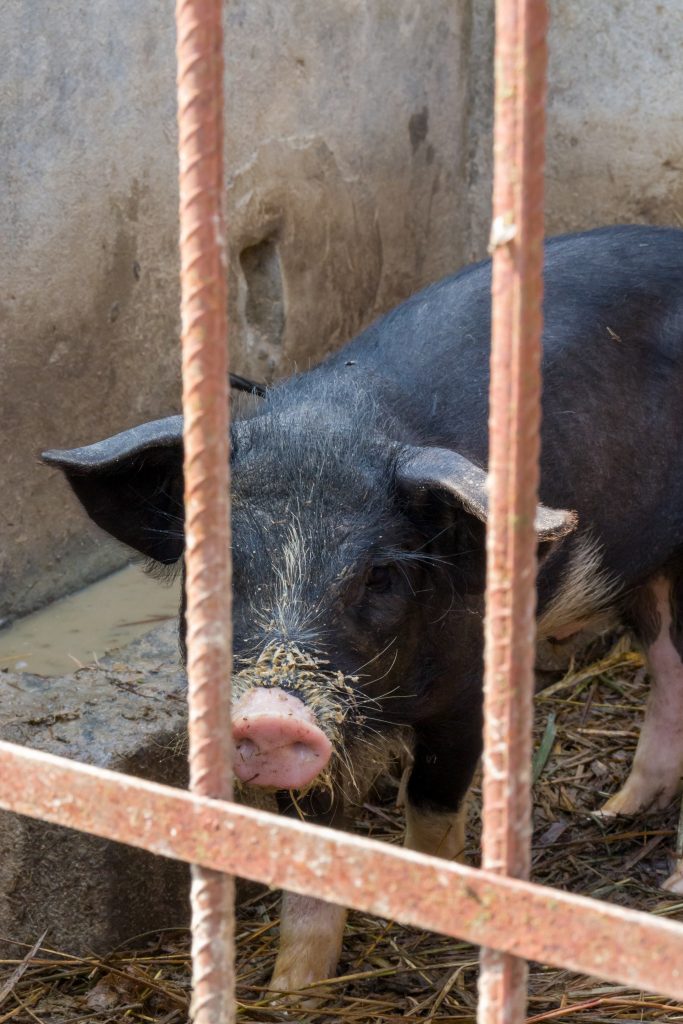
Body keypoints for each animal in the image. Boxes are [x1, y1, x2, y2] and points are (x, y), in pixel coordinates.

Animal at [43, 224, 683, 991]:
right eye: (213, 562)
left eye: (379, 574)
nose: (271, 714)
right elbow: (314, 841)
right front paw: (293, 989)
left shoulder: (468, 684)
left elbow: (432, 799)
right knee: (670, 674)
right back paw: (612, 811)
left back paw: (667, 880)